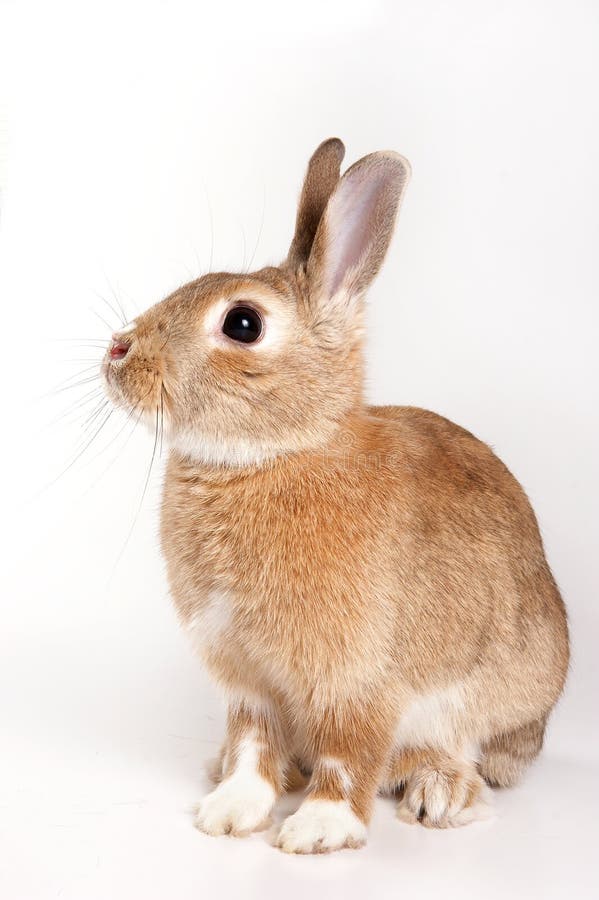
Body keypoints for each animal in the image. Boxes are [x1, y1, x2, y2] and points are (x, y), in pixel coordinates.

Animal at [102, 138, 569, 853]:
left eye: (243, 323)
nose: (117, 351)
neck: (279, 453)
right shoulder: (250, 684)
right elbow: (251, 746)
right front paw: (229, 811)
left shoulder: (358, 681)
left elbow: (350, 757)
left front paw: (316, 830)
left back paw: (439, 792)